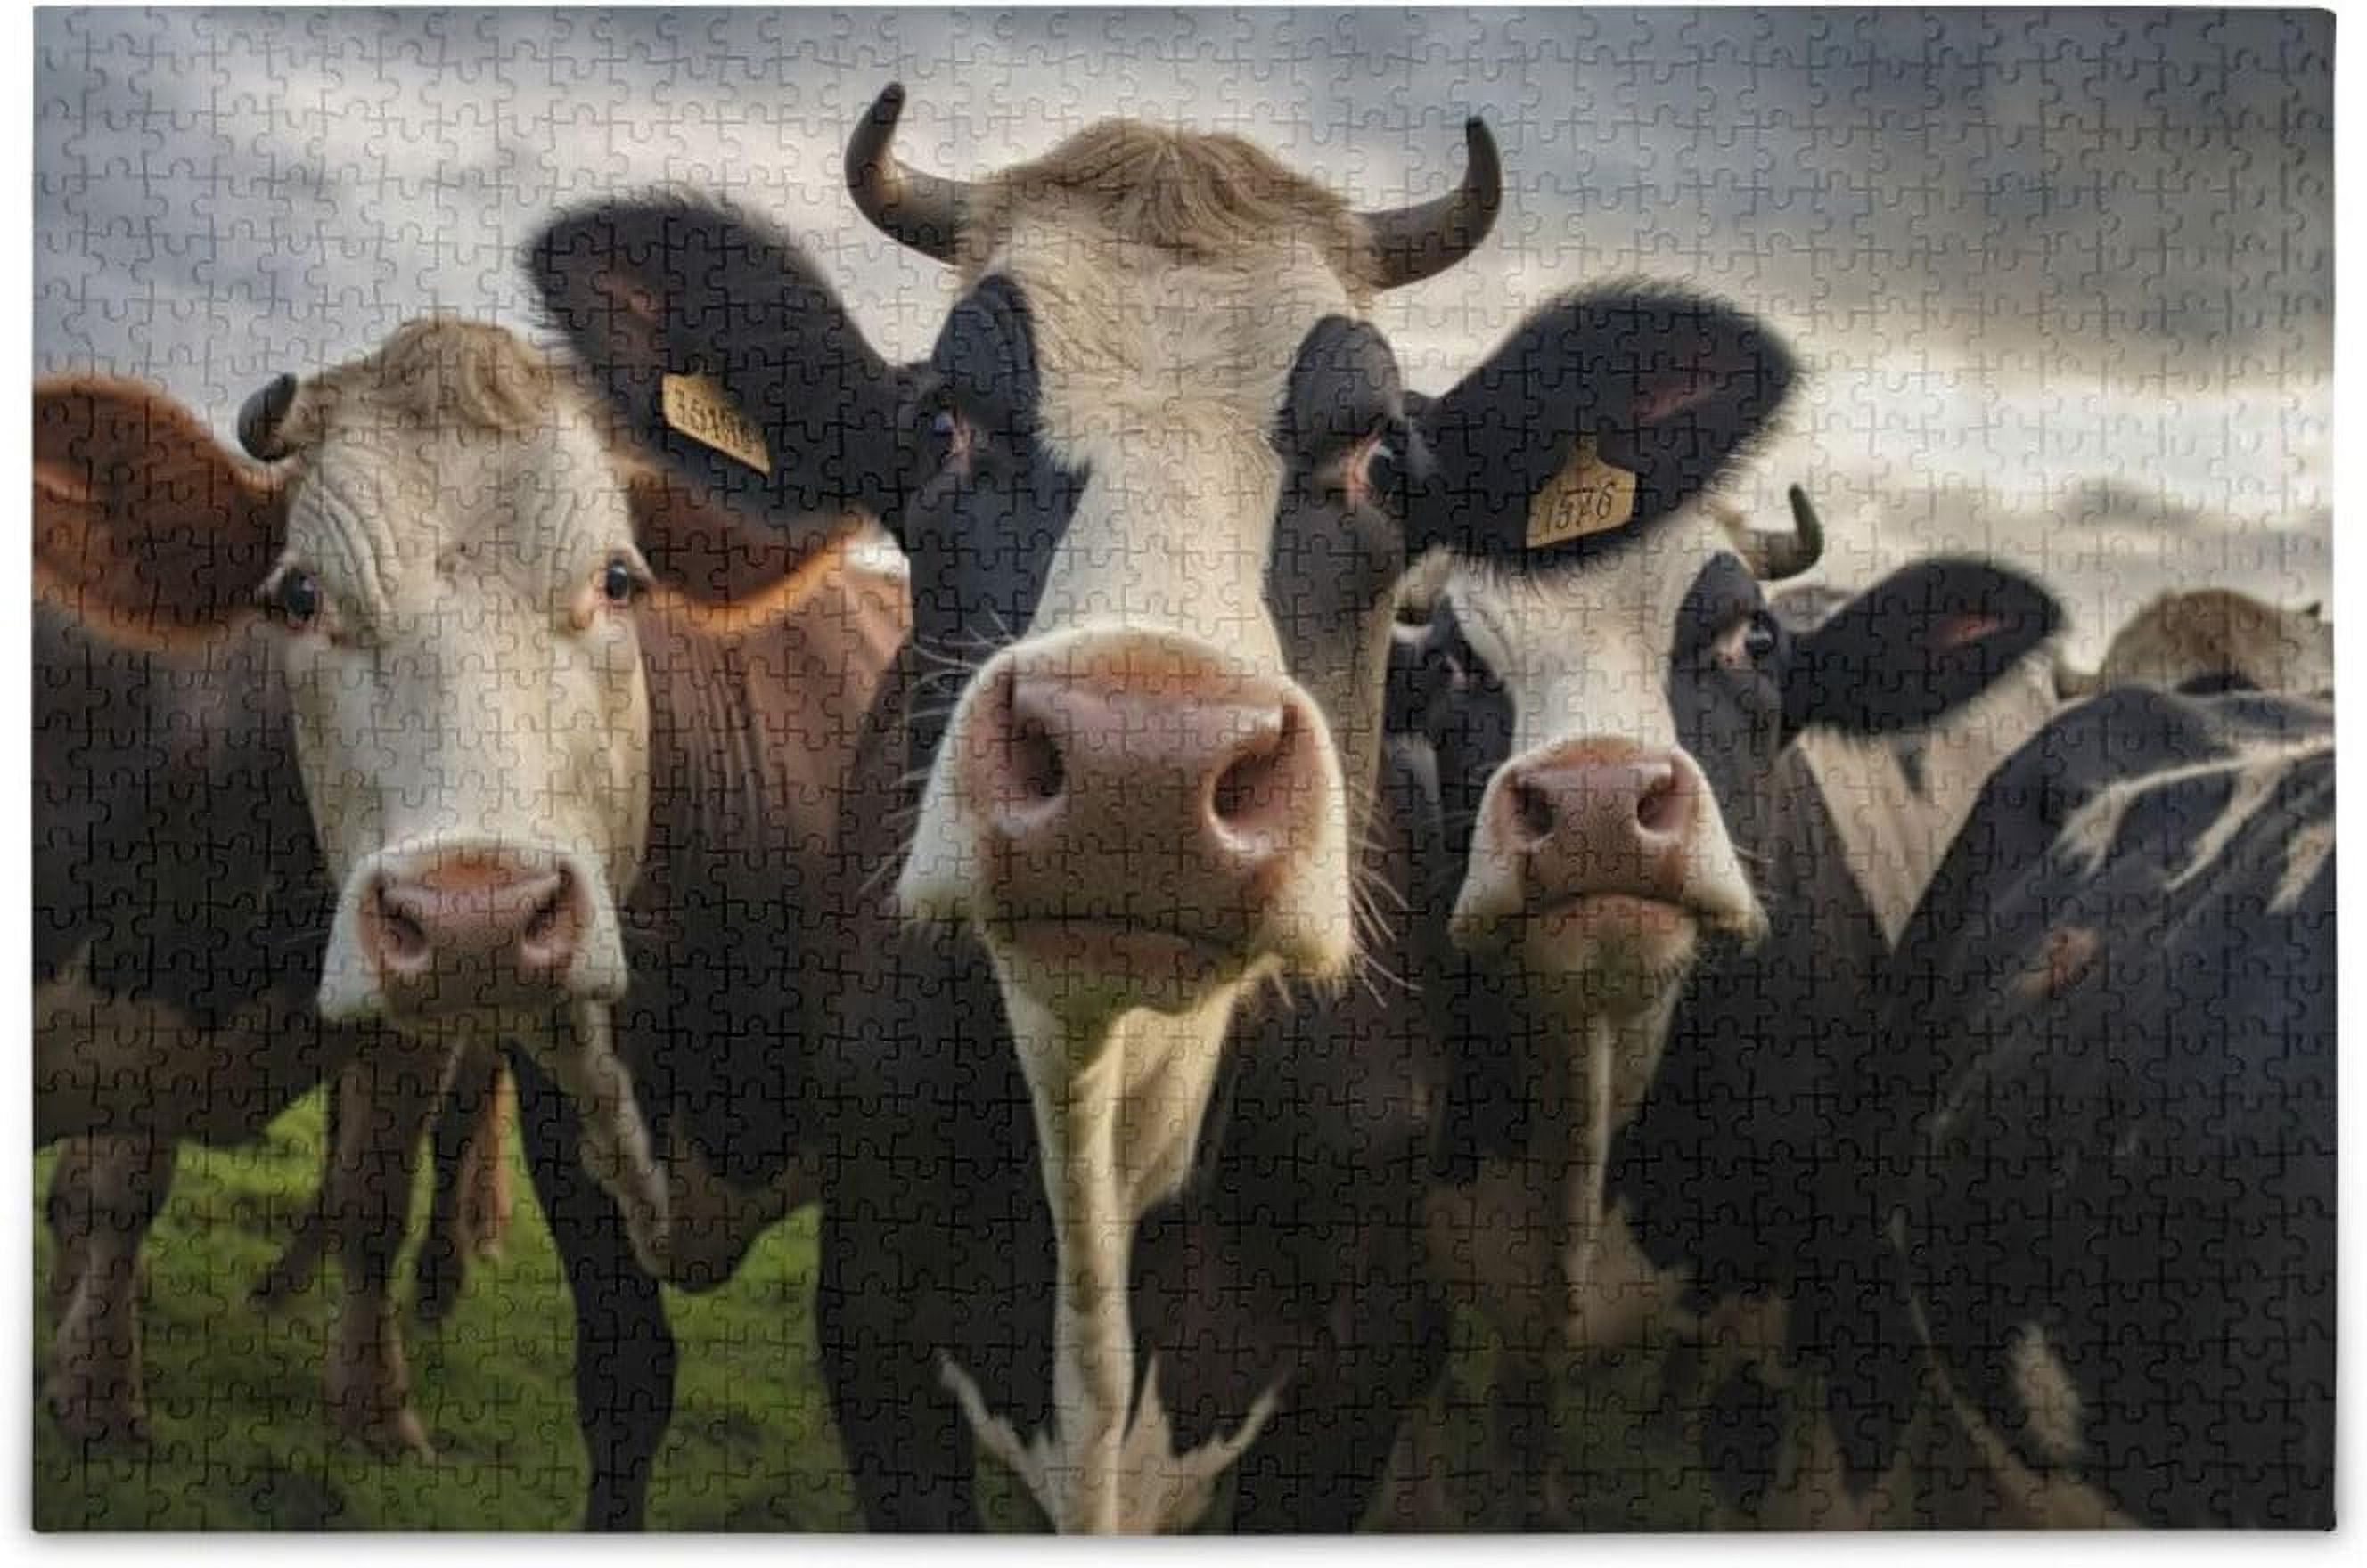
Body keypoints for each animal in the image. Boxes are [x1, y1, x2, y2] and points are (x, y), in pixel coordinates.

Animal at [32, 318, 904, 1479]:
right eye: (297, 594)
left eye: (621, 578)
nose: (473, 919)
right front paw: (94, 1394)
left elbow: (366, 1195)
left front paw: (366, 1406)